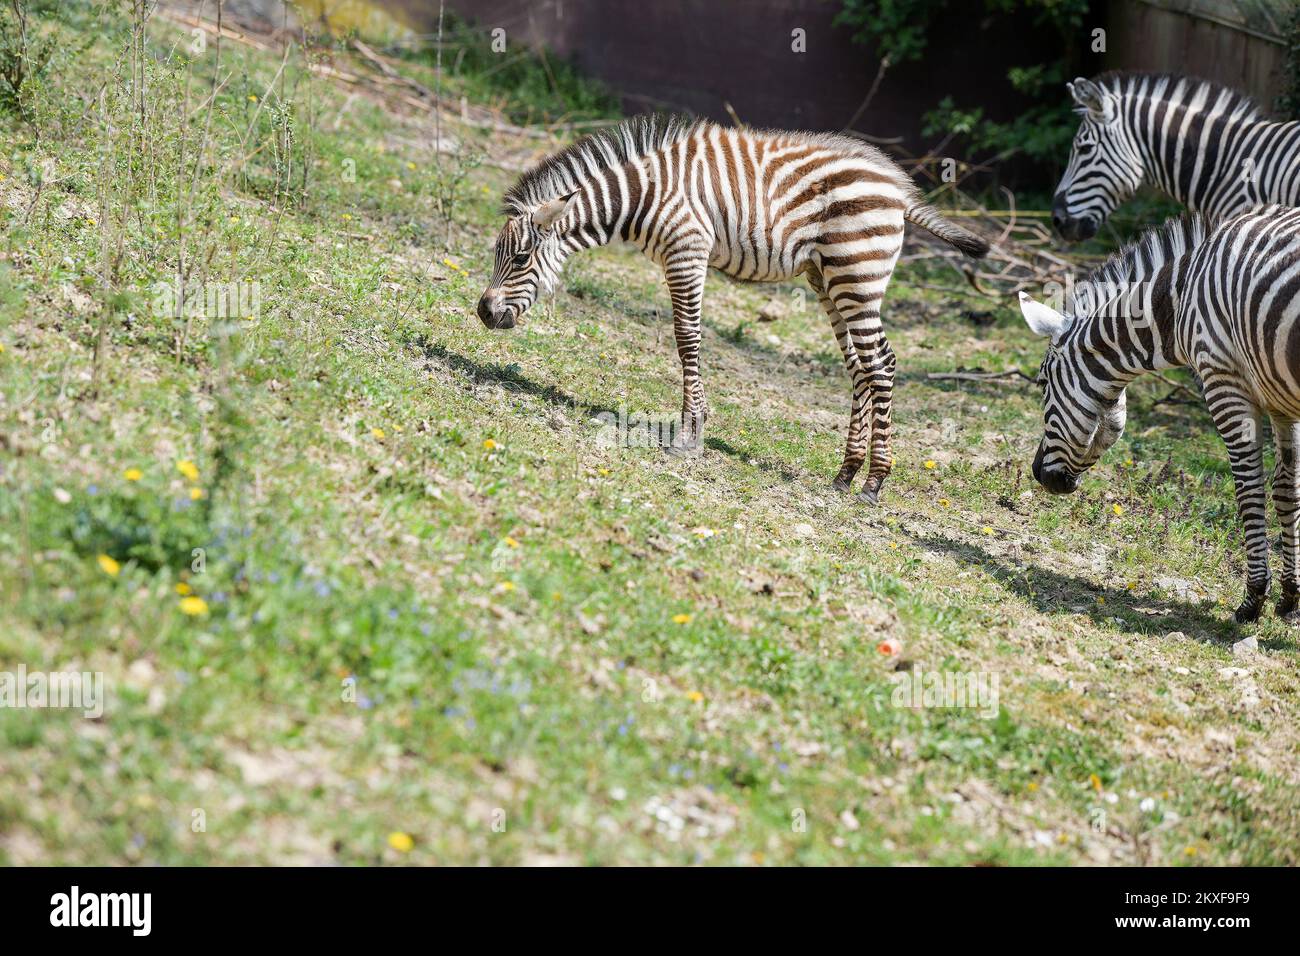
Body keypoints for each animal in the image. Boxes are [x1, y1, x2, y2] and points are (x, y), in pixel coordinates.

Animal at [476, 114, 988, 503]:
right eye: (498, 256)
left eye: (520, 259)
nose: (483, 312)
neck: (643, 197)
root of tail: (898, 188)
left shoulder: (687, 251)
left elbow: (687, 338)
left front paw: (689, 435)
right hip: (829, 278)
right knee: (860, 366)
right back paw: (845, 474)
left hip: (857, 275)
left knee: (882, 363)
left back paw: (875, 482)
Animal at [1018, 204, 1300, 624]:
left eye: (1041, 383)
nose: (1038, 474)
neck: (1178, 303)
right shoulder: (1280, 400)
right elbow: (1286, 490)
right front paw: (1290, 598)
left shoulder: (1222, 377)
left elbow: (1248, 488)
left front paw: (1253, 599)